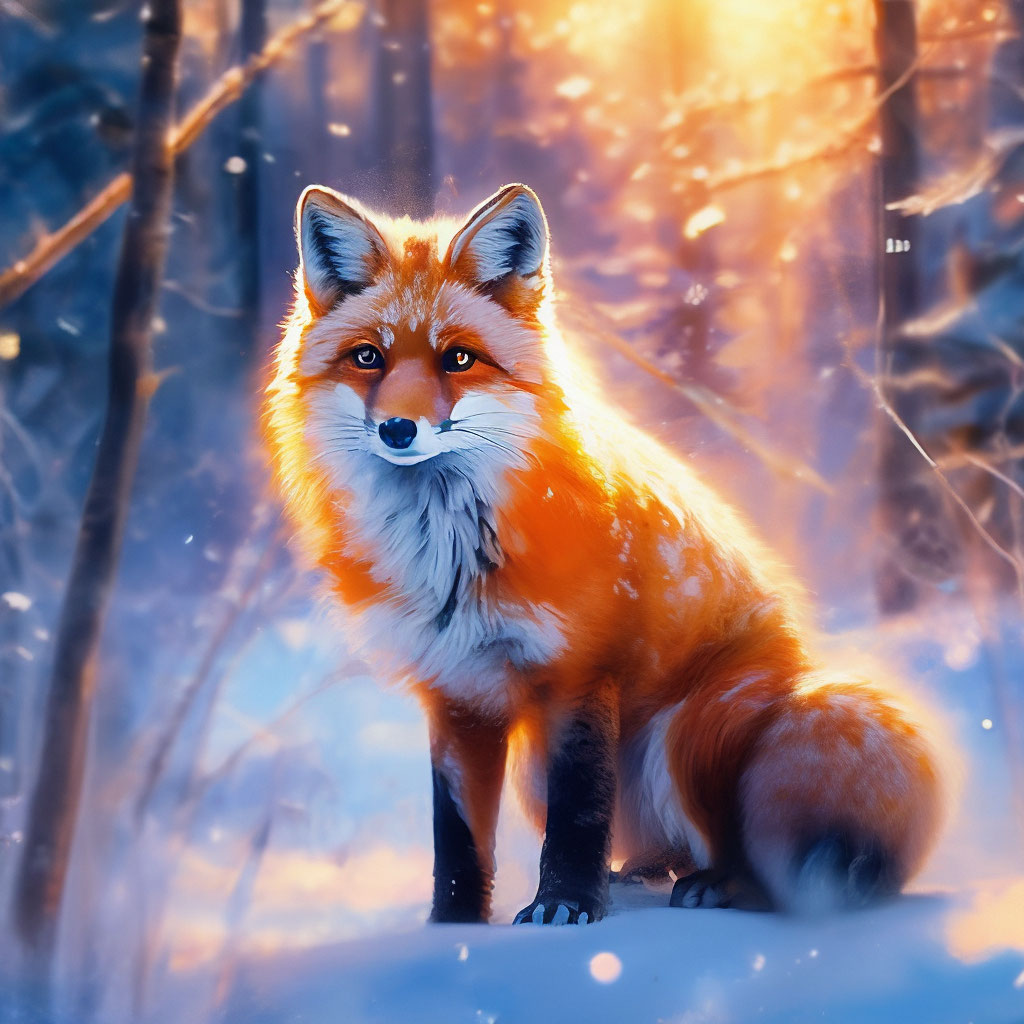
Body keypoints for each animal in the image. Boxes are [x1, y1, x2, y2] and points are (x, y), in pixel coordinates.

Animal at [264, 181, 947, 925]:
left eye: (459, 359)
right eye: (368, 358)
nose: (397, 429)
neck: (451, 553)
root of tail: (798, 683)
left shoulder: (581, 672)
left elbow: (581, 813)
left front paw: (564, 906)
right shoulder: (457, 694)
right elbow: (459, 838)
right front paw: (454, 926)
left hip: (684, 737)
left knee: (749, 858)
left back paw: (719, 885)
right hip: (534, 766)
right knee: (662, 851)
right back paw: (637, 875)